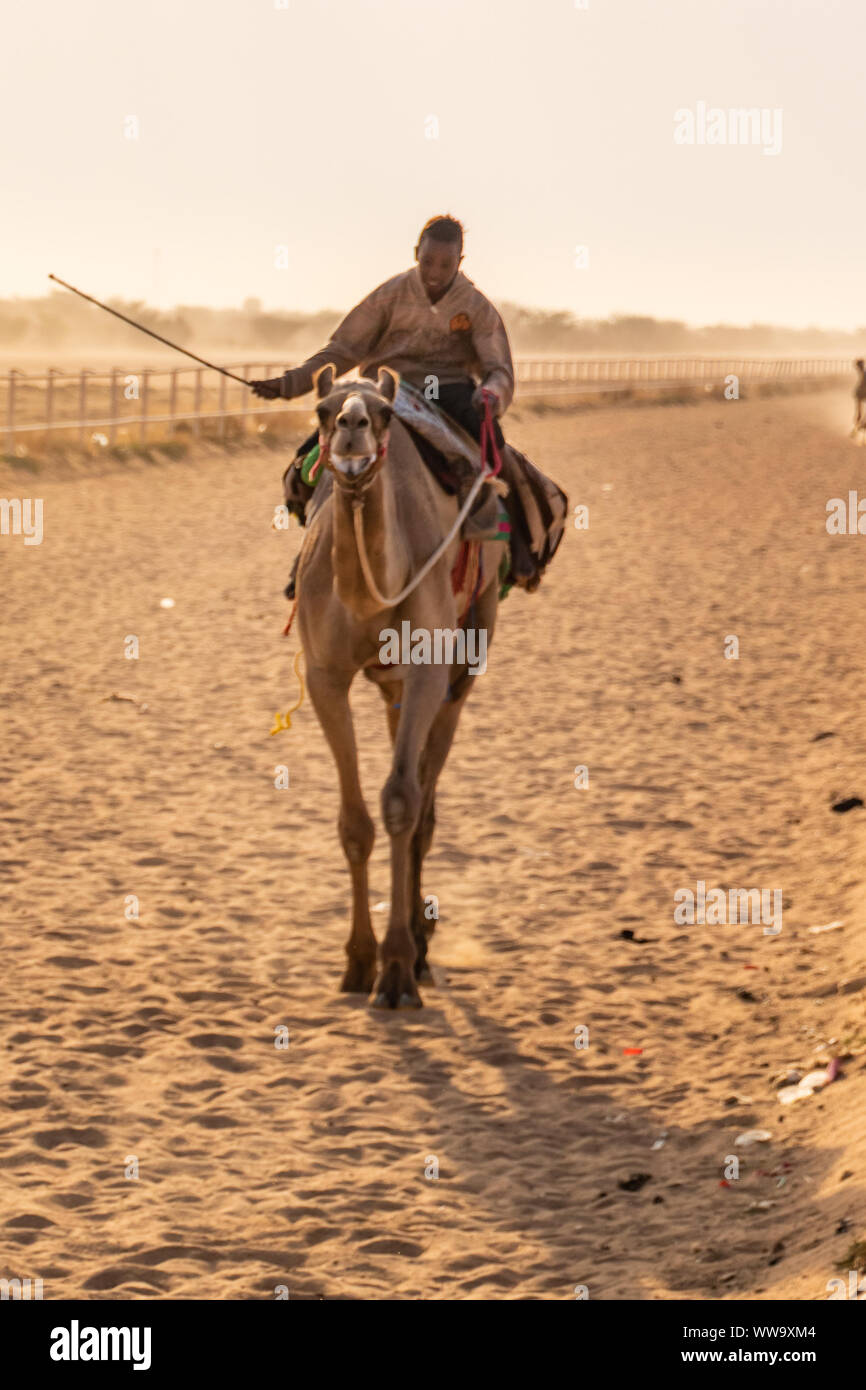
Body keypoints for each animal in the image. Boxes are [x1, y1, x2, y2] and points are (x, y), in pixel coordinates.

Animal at [295, 364, 502, 1008]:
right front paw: (358, 962)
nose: (352, 427)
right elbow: (355, 822)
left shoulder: (429, 670)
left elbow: (401, 805)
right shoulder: (323, 676)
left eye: (384, 414)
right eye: (322, 409)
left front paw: (395, 970)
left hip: (463, 665)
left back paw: (421, 945)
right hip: (392, 689)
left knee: (425, 809)